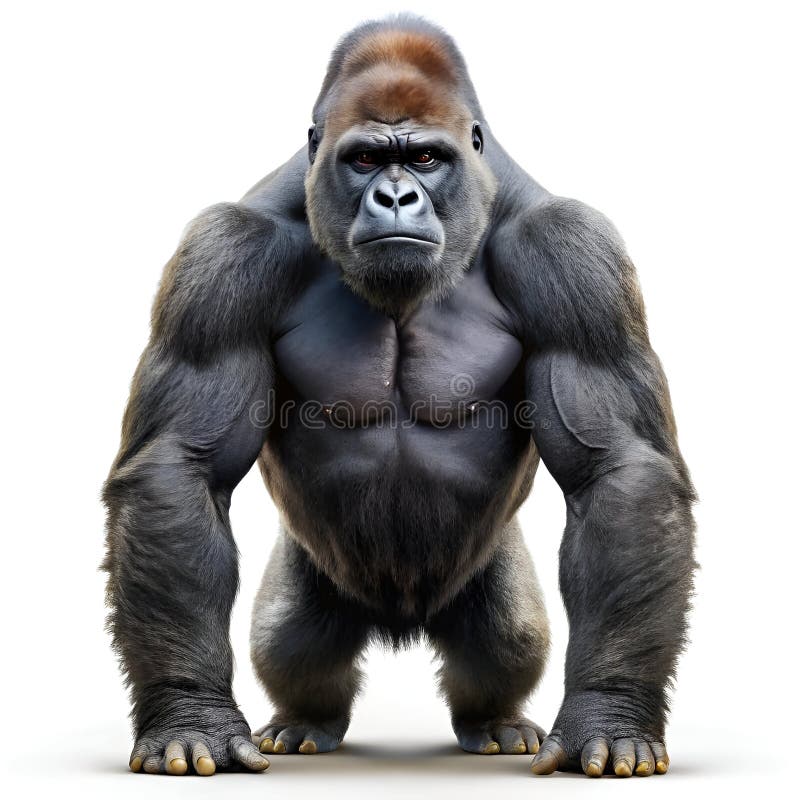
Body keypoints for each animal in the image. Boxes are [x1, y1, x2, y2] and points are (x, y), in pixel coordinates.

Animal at [102, 13, 696, 778]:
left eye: (425, 158)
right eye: (363, 160)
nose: (394, 198)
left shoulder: (573, 252)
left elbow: (620, 467)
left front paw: (610, 708)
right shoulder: (222, 255)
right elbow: (181, 464)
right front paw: (188, 710)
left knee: (509, 635)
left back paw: (493, 718)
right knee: (291, 640)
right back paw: (306, 717)